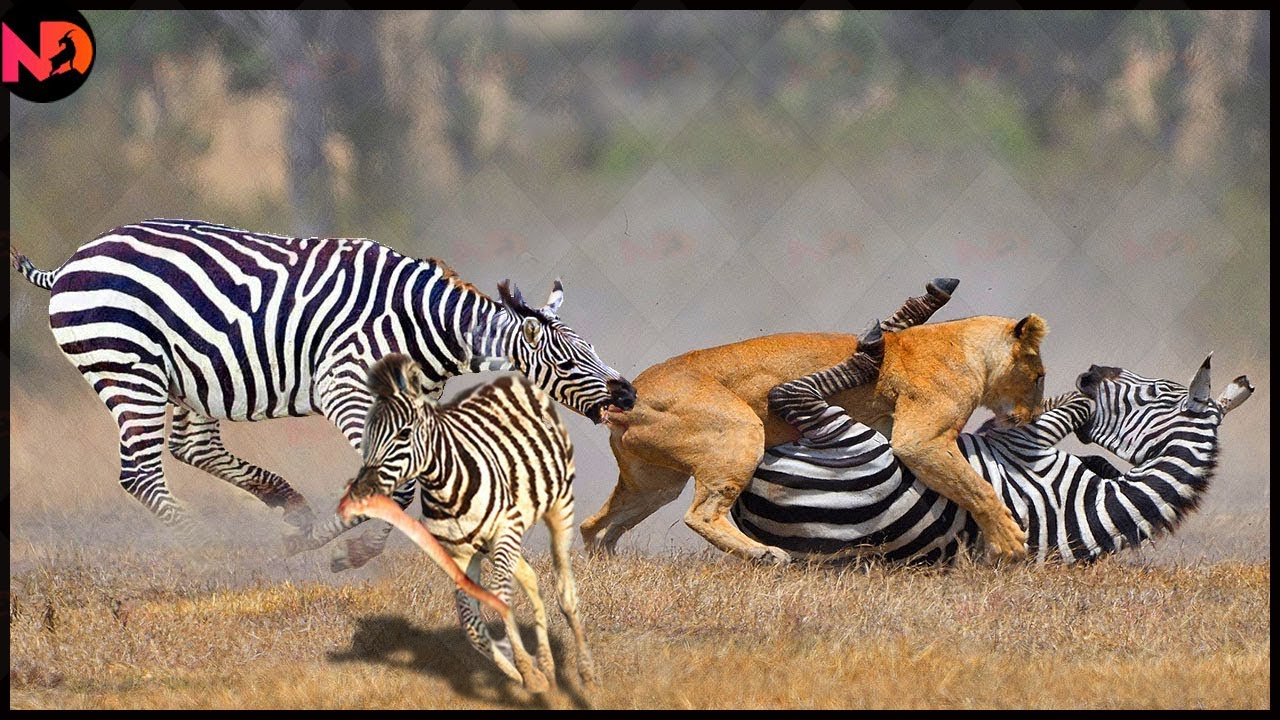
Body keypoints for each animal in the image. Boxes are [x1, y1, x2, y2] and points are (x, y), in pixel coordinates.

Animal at [10, 219, 636, 562]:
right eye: (567, 361)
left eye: (591, 349)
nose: (627, 396)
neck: (425, 325)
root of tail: (71, 262)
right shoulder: (348, 390)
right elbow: (391, 483)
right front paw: (338, 545)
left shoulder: (416, 409)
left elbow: (414, 482)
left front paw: (356, 543)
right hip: (127, 366)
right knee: (140, 472)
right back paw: (211, 547)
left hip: (190, 375)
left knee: (192, 448)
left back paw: (285, 504)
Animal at [339, 353, 594, 694]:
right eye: (367, 432)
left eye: (404, 433)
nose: (360, 491)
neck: (445, 487)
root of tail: (505, 379)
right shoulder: (460, 555)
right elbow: (470, 621)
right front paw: (521, 672)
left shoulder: (505, 531)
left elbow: (499, 598)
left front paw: (527, 670)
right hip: (493, 544)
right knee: (529, 579)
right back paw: (548, 665)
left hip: (555, 507)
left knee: (565, 590)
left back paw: (585, 672)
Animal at [581, 279, 1047, 563]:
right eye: (1040, 376)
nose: (1032, 415)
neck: (970, 347)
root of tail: (628, 398)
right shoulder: (921, 440)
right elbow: (978, 488)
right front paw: (1009, 541)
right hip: (739, 431)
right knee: (703, 515)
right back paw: (767, 554)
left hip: (653, 483)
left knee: (595, 526)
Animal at [733, 330, 1254, 565]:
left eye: (1154, 392)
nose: (1091, 369)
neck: (1096, 510)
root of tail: (757, 512)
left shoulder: (1024, 448)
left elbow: (1071, 412)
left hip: (860, 446)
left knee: (792, 394)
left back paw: (873, 347)